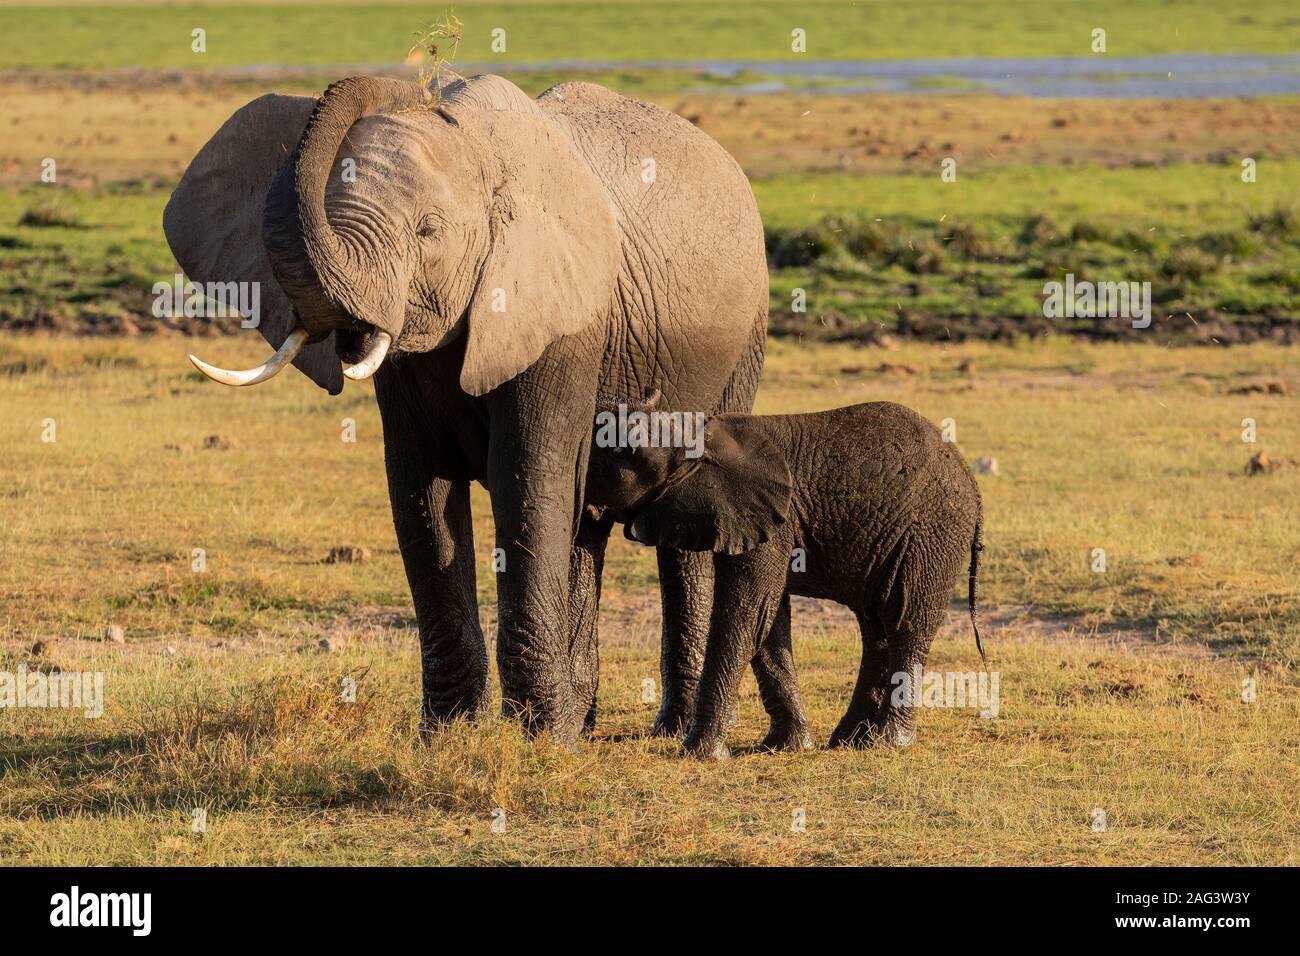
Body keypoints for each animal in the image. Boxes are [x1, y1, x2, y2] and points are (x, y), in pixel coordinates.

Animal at [163, 74, 769, 743]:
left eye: (428, 232)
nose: (411, 83)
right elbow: (421, 490)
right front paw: (451, 734)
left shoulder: (562, 320)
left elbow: (526, 478)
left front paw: (539, 741)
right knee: (583, 521)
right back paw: (584, 719)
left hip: (742, 346)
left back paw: (667, 731)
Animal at [584, 398, 985, 759]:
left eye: (617, 453)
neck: (696, 430)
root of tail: (971, 481)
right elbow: (768, 619)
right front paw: (785, 747)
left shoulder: (769, 519)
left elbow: (746, 614)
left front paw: (699, 753)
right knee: (876, 629)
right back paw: (851, 740)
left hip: (932, 534)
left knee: (905, 622)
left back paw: (888, 743)